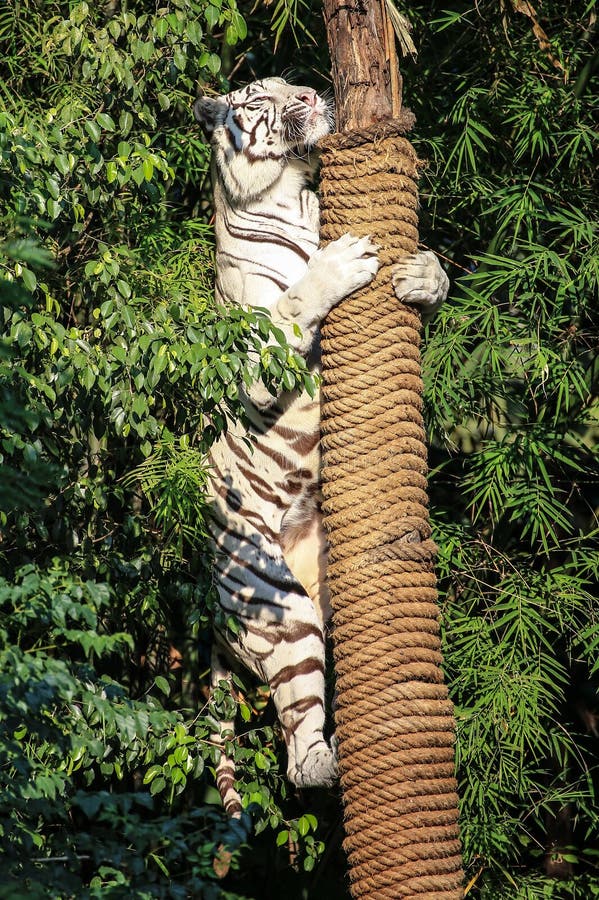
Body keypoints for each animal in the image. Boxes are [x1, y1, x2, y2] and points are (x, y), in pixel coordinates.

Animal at [193, 76, 449, 817]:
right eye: (261, 96)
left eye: (289, 84)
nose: (310, 91)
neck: (292, 195)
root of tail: (213, 613)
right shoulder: (257, 358)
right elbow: (294, 303)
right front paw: (341, 261)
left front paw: (423, 276)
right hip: (279, 611)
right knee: (297, 752)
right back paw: (330, 763)